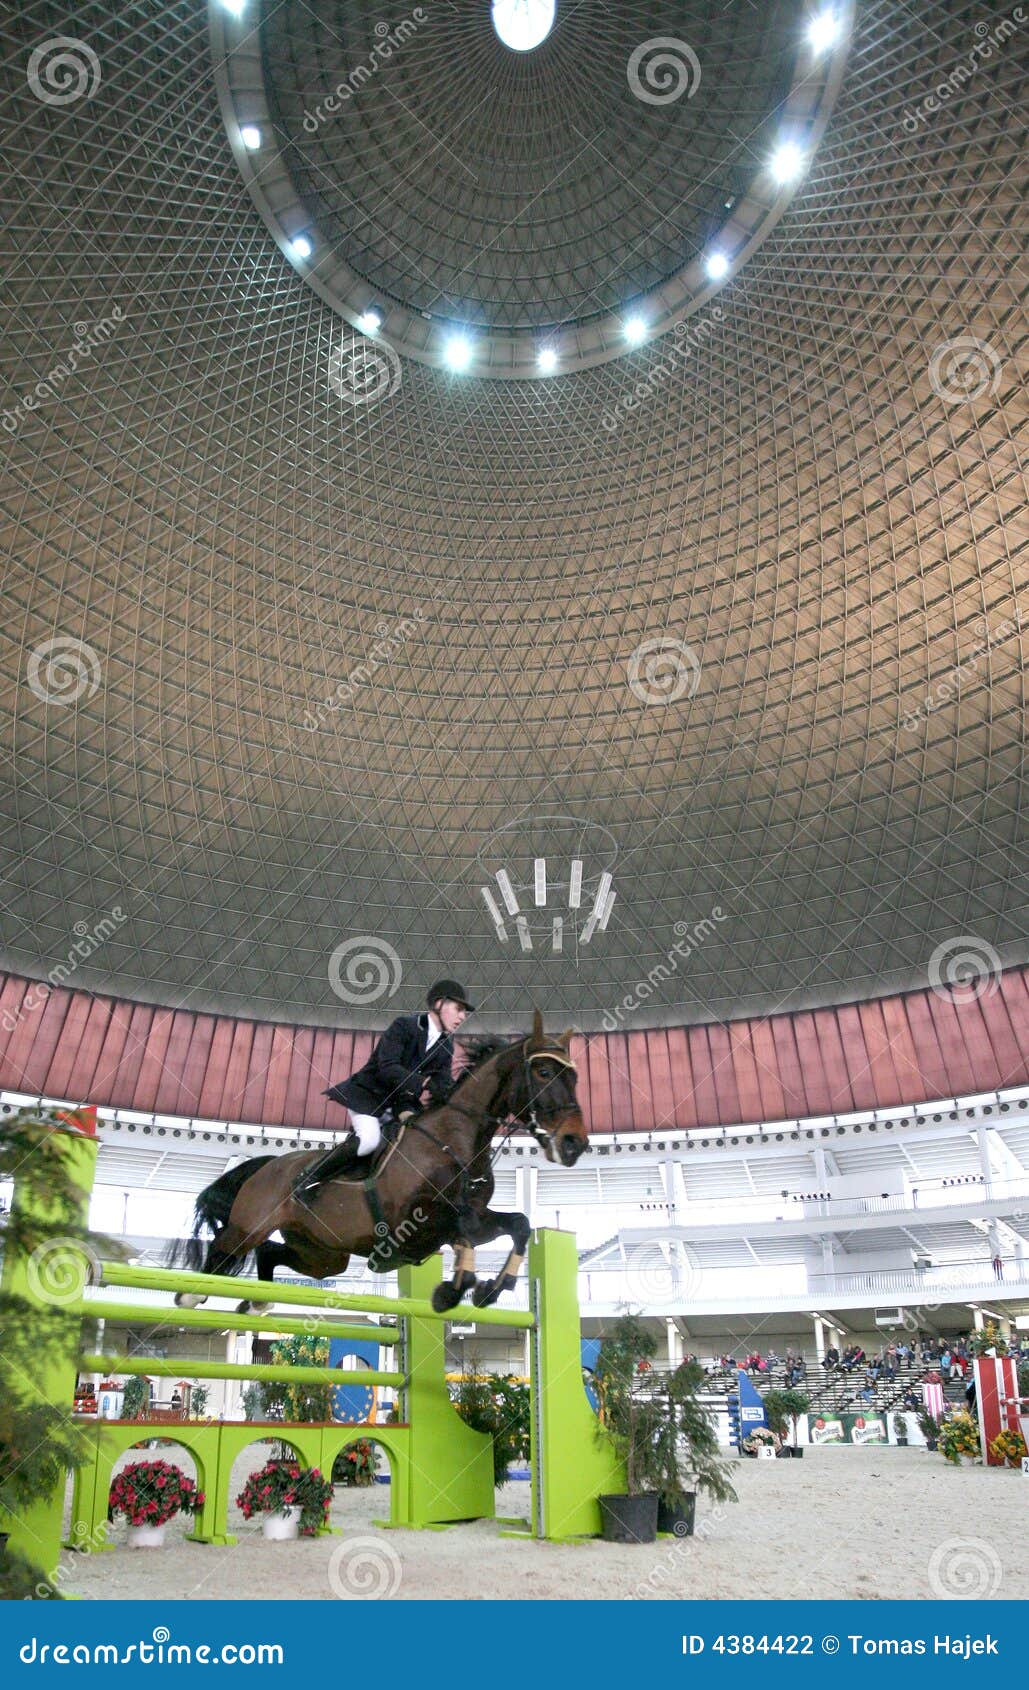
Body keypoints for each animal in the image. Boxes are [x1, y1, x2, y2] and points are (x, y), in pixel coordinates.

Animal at [165, 1012, 588, 1314]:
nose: (575, 1144)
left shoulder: (463, 1222)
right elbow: (463, 1226)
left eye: (575, 1078)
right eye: (544, 1072)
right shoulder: (413, 1222)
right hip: (251, 1225)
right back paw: (190, 1295)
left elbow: (517, 1224)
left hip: (323, 1255)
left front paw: (491, 1289)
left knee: (271, 1253)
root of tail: (267, 1165)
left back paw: (256, 1301)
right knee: (224, 1244)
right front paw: (454, 1291)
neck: (455, 1139)